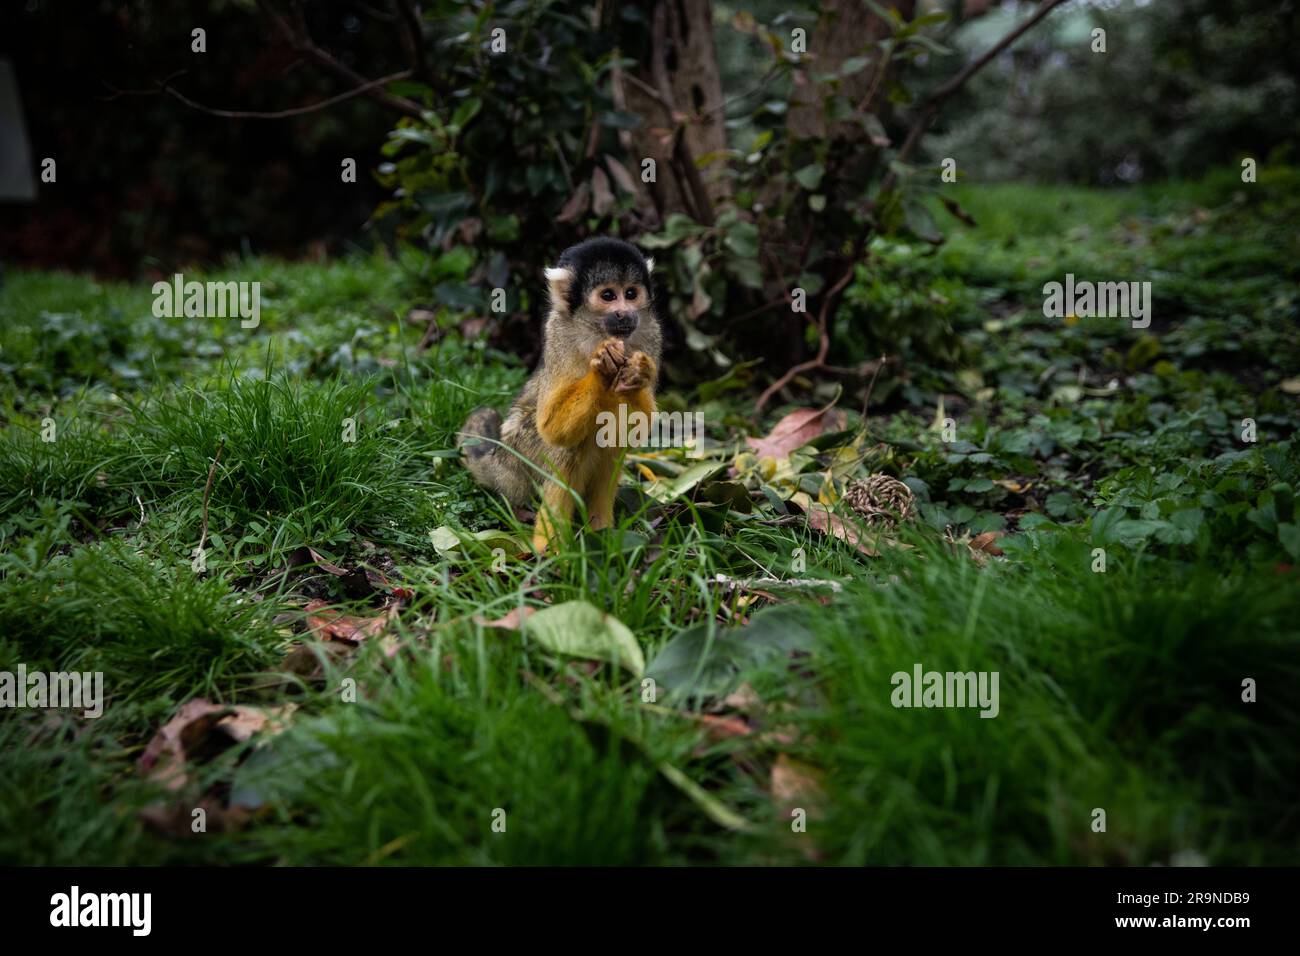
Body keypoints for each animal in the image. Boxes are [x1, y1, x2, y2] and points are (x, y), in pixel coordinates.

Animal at [459, 237, 662, 553]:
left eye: (631, 293)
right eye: (608, 295)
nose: (625, 313)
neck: (598, 331)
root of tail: (499, 456)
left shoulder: (651, 334)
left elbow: (636, 427)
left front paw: (637, 373)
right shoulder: (558, 334)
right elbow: (551, 428)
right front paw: (601, 369)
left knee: (612, 436)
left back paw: (600, 532)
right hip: (519, 458)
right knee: (568, 446)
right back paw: (549, 548)